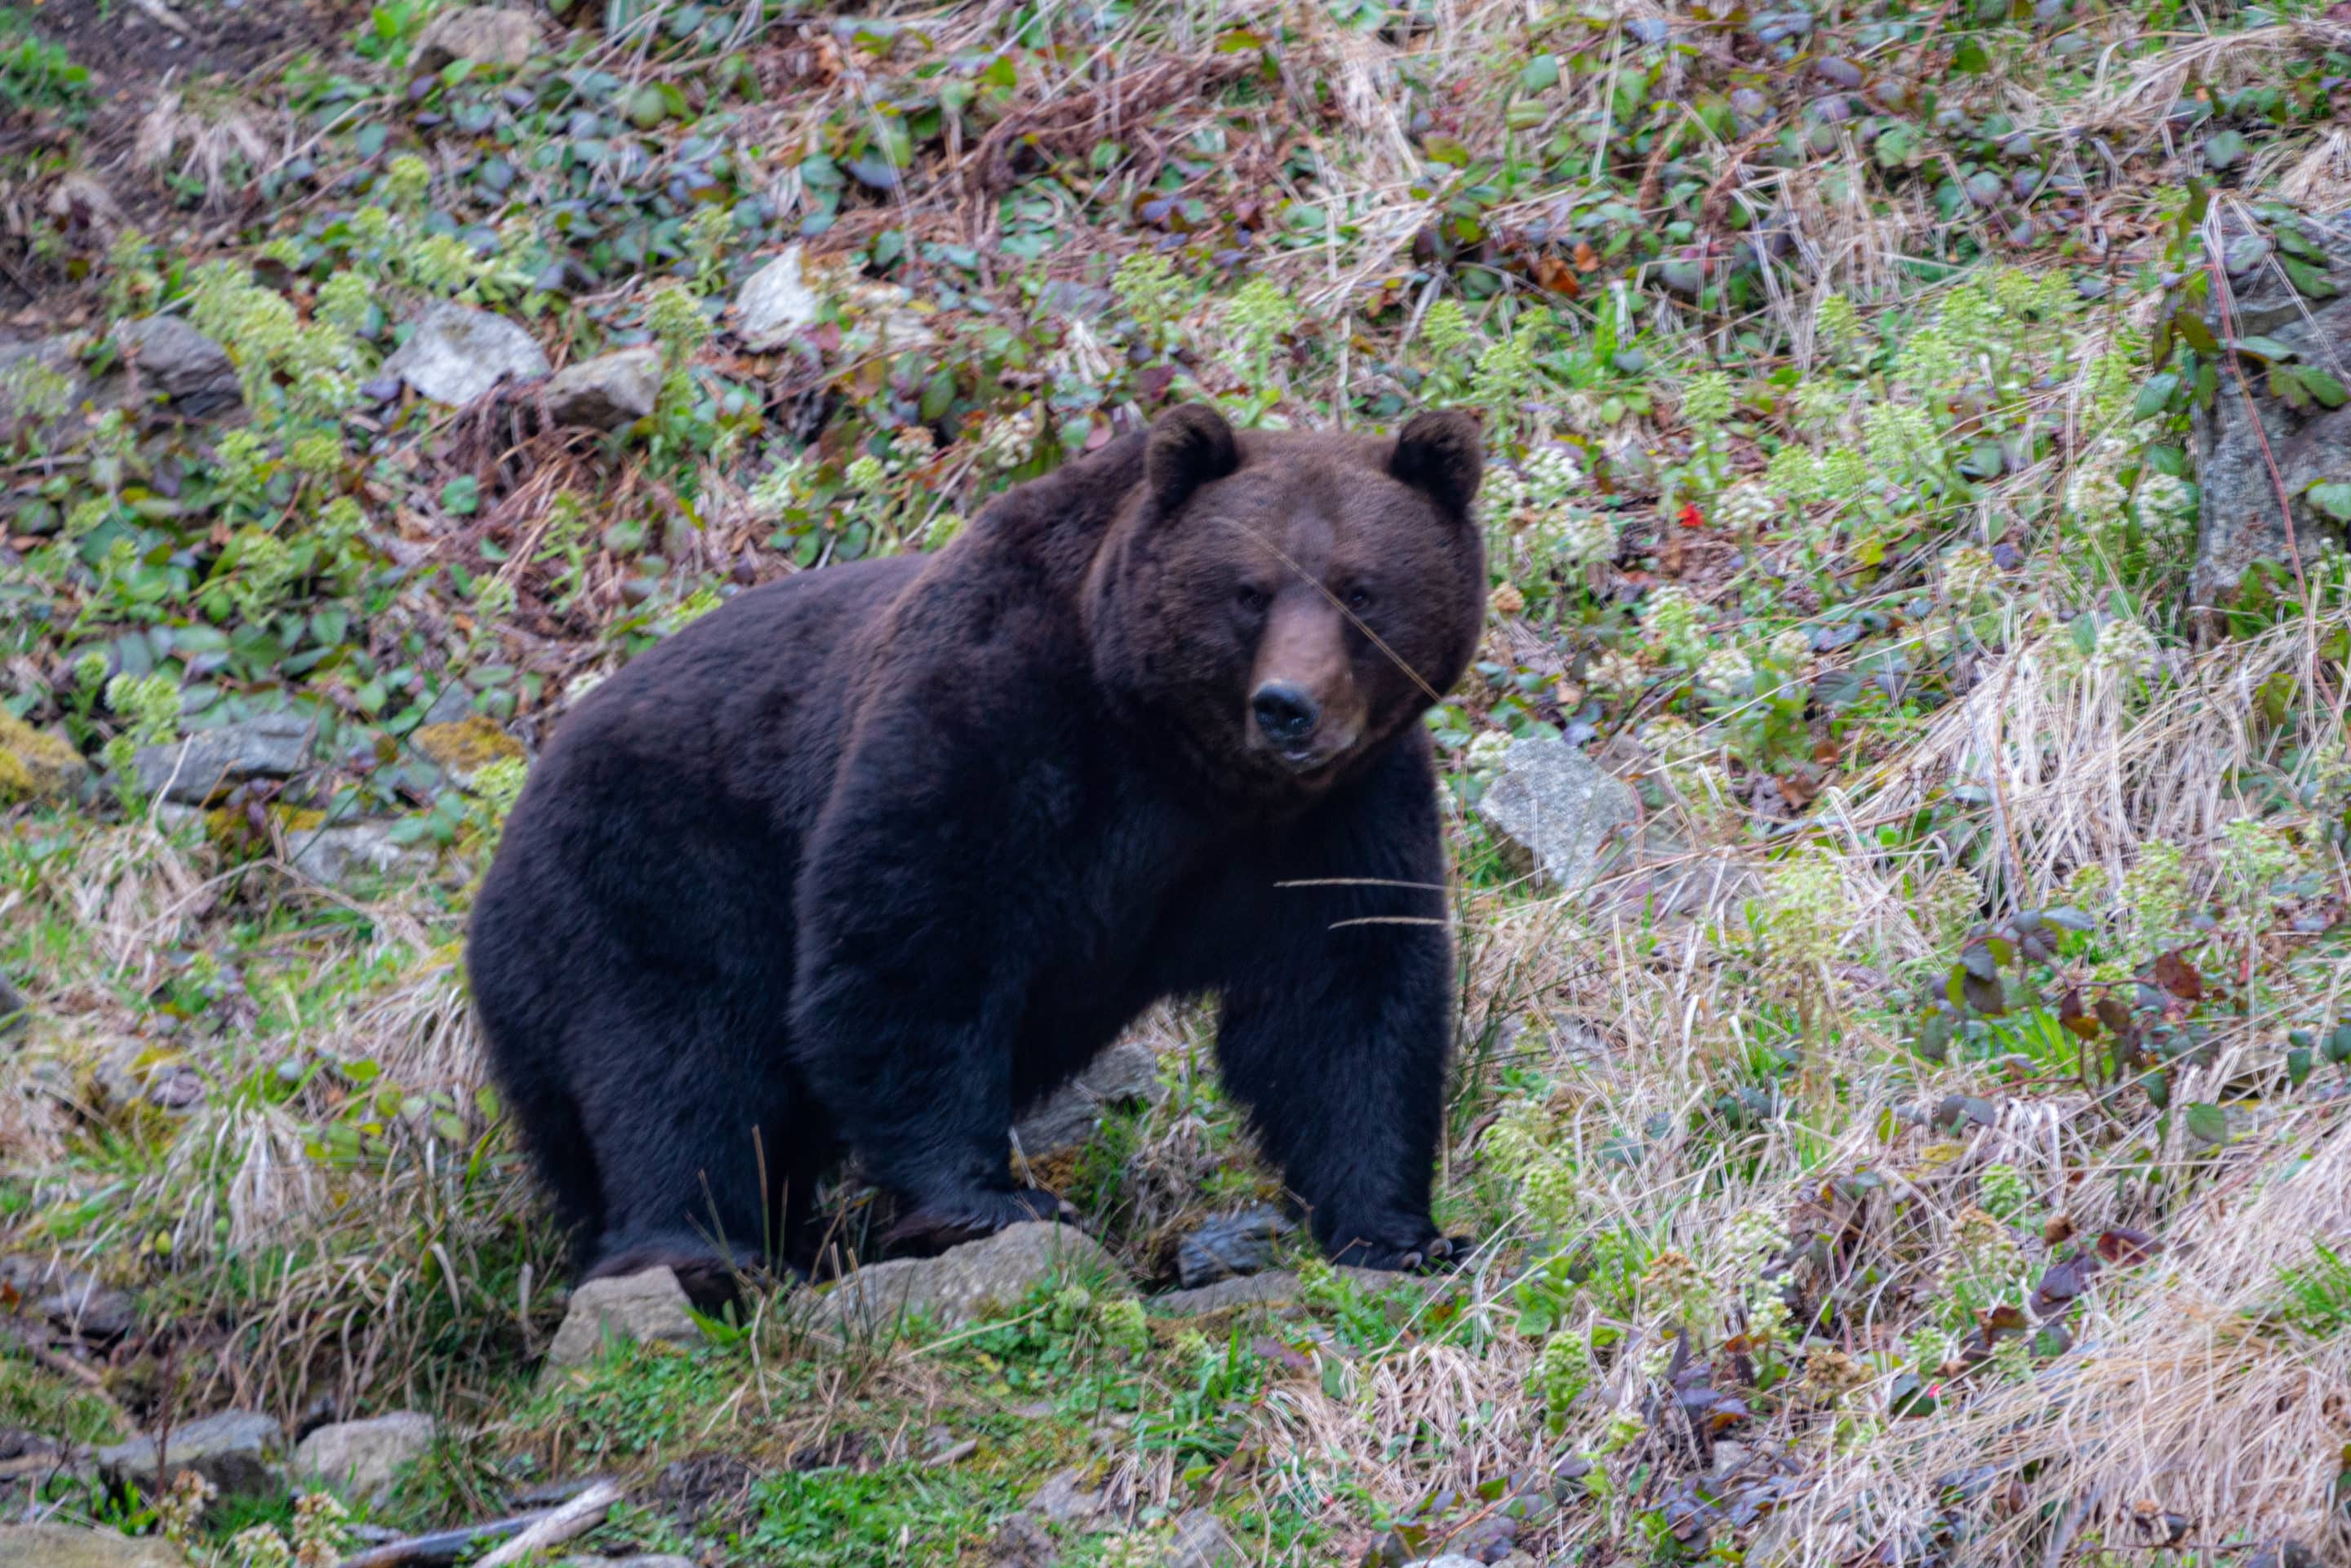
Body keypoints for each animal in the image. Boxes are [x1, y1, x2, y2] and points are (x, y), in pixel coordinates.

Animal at [465, 402, 1487, 1305]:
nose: (1287, 707)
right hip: (647, 872)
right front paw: (986, 1200)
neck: (1185, 761)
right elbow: (919, 942)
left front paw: (1400, 1231)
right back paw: (701, 1252)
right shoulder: (999, 711)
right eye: (1249, 591)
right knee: (671, 1057)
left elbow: (1344, 995)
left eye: (1361, 591)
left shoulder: (1340, 810)